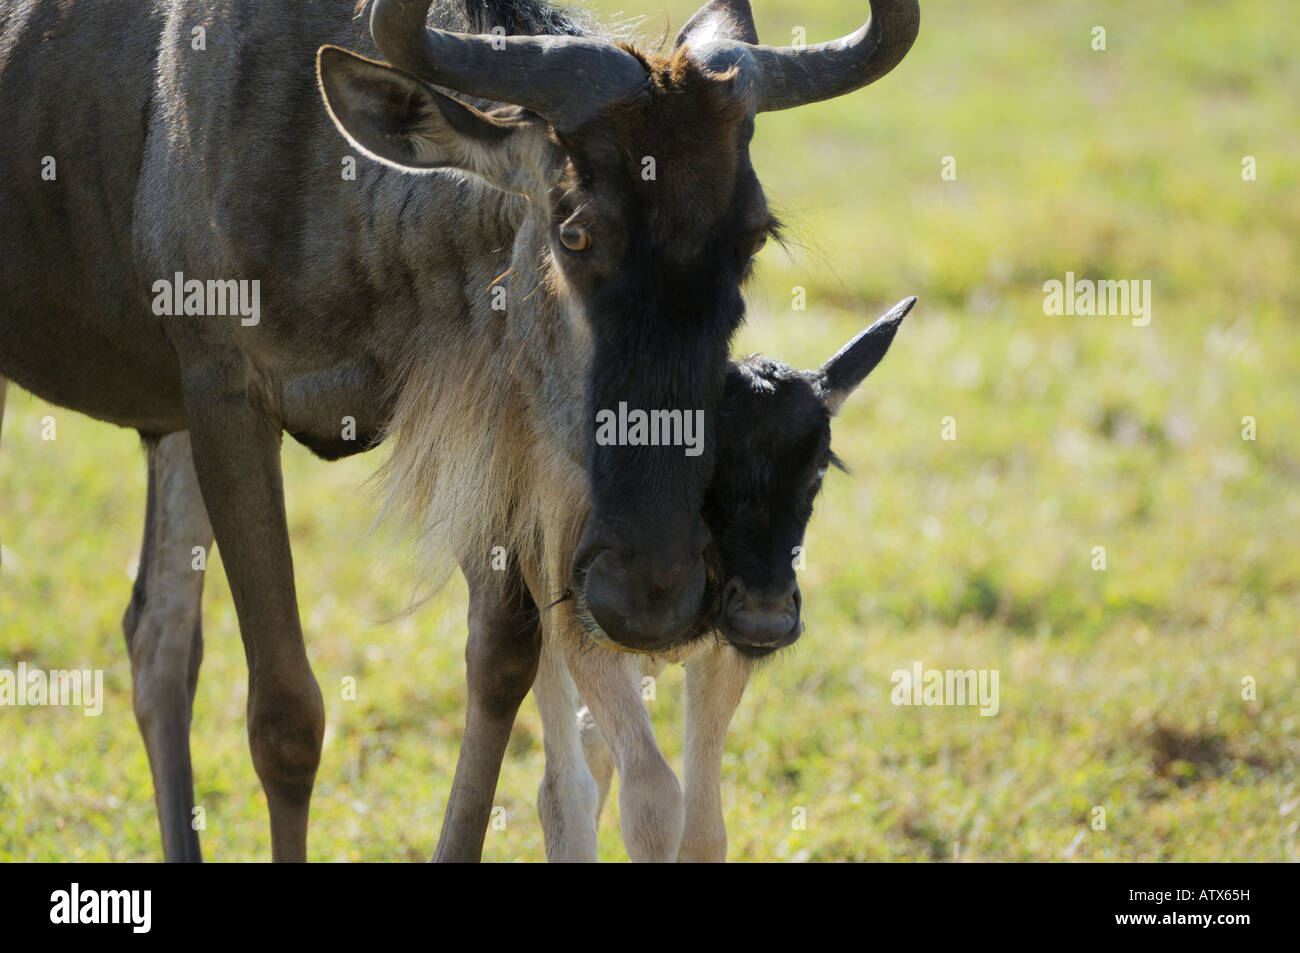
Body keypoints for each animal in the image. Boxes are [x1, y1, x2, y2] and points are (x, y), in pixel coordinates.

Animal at [533, 299, 914, 861]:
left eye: (820, 467)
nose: (765, 617)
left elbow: (705, 828)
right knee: (561, 783)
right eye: (706, 463)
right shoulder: (578, 624)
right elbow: (651, 799)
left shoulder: (725, 652)